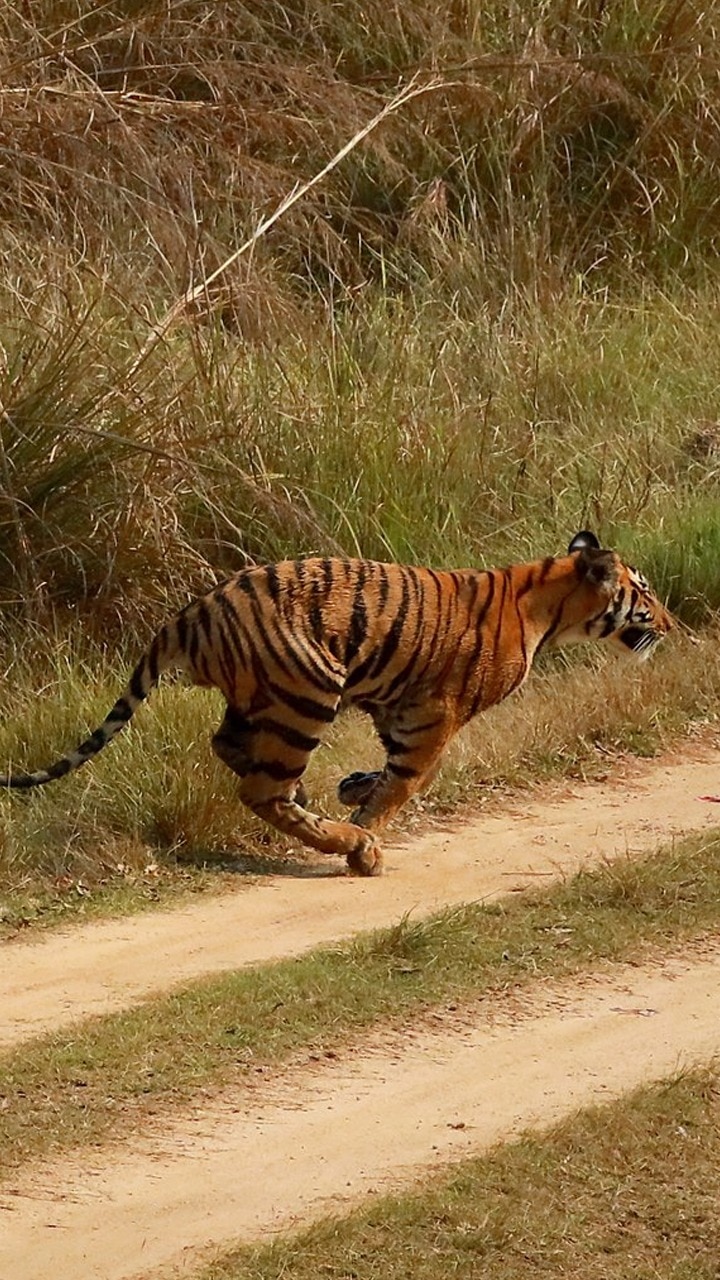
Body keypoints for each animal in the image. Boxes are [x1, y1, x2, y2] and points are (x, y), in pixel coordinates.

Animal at [0, 531, 671, 876]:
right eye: (643, 594)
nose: (668, 624)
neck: (545, 600)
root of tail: (188, 616)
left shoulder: (397, 705)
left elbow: (387, 771)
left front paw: (352, 790)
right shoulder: (436, 715)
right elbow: (404, 783)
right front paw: (365, 836)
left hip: (262, 698)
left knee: (233, 750)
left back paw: (311, 801)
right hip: (309, 691)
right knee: (260, 790)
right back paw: (346, 843)